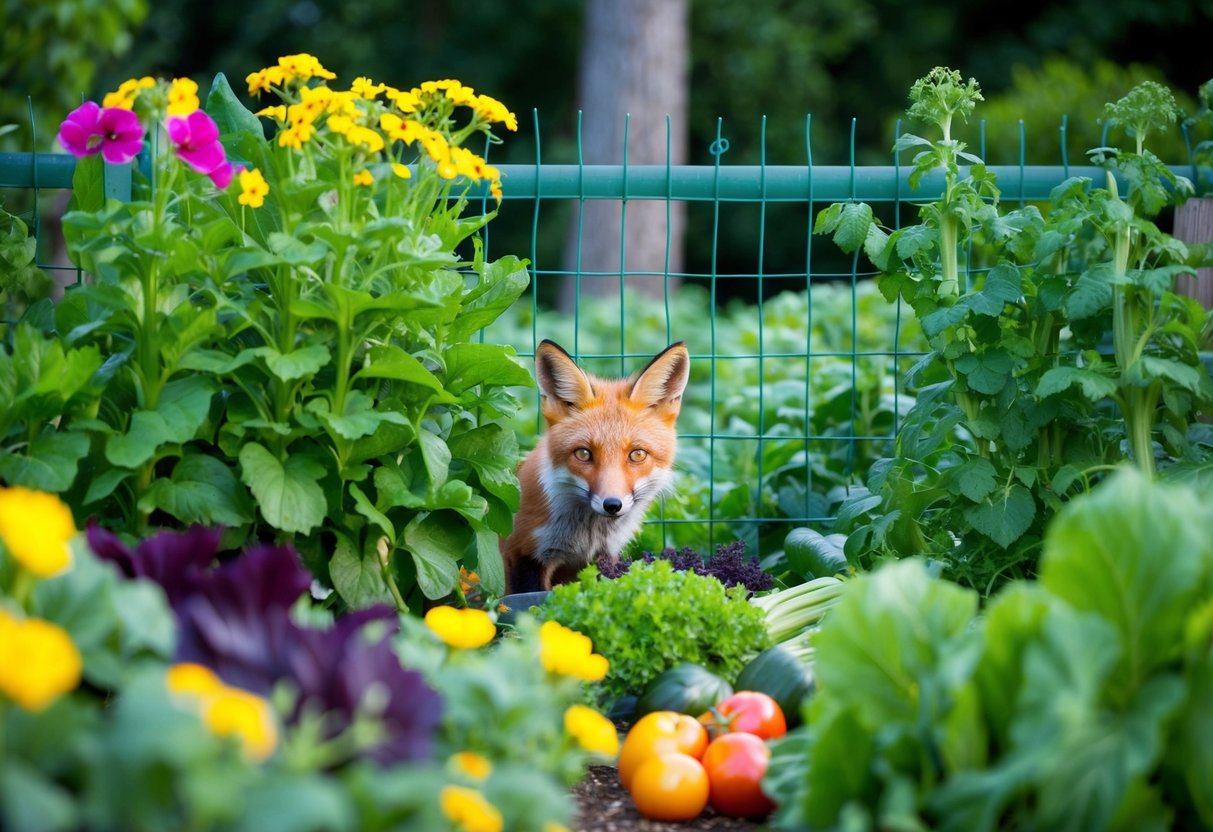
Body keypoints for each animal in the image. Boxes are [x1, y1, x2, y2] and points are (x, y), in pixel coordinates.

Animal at [501, 339, 691, 593]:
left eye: (637, 454)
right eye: (583, 453)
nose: (612, 505)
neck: (587, 537)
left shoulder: (605, 558)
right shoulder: (523, 553)